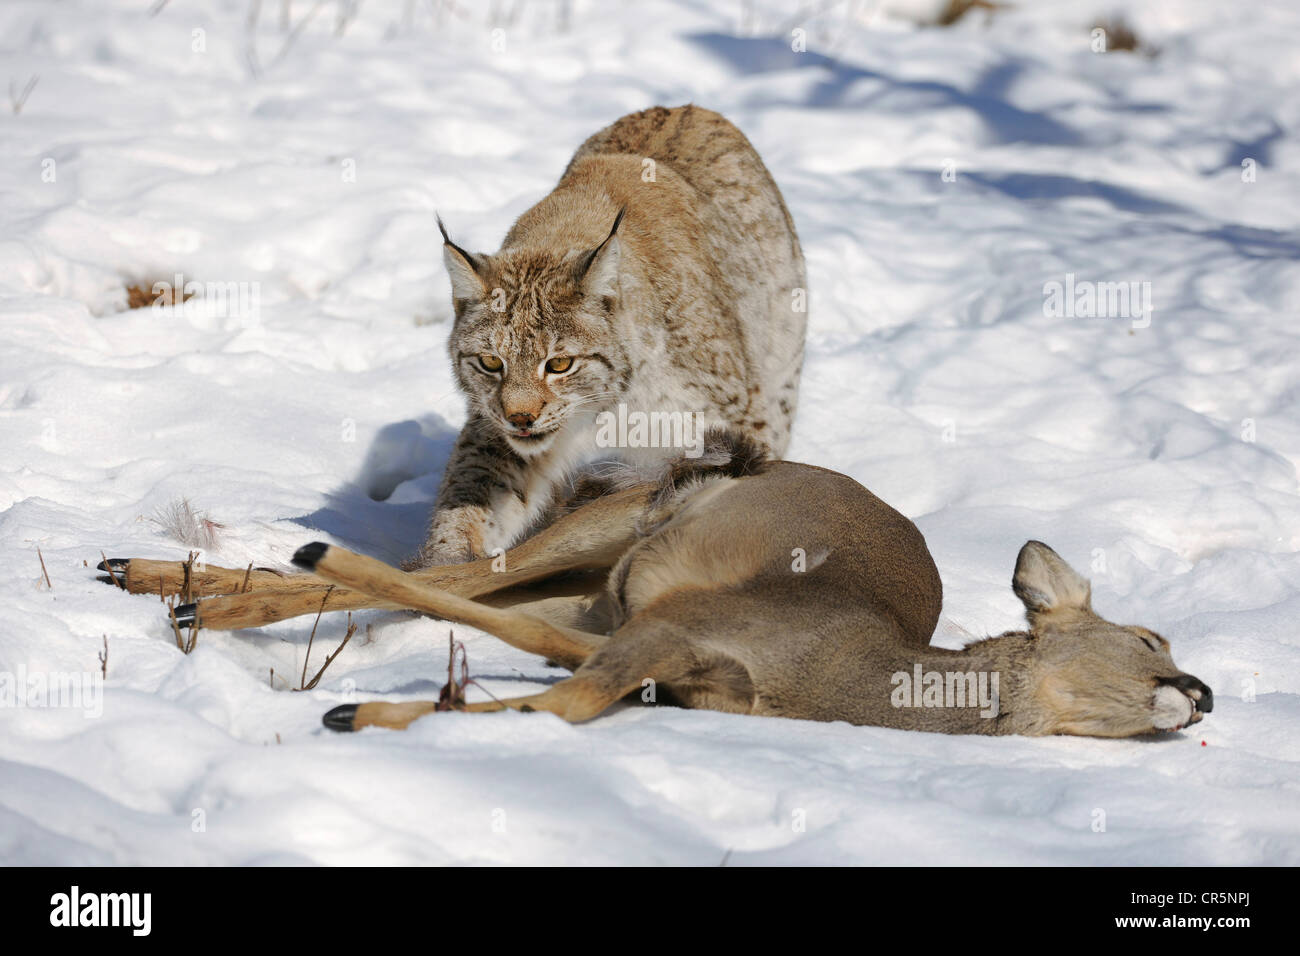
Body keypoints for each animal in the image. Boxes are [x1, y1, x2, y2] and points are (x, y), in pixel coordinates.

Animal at [98, 430, 1212, 737]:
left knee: (462, 588)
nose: (1200, 694)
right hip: (610, 530)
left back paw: (173, 583)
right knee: (460, 569)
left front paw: (367, 707)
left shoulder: (648, 643)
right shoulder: (672, 623)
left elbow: (562, 694)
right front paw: (357, 708)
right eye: (1148, 637)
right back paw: (184, 577)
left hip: (594, 580)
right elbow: (559, 696)